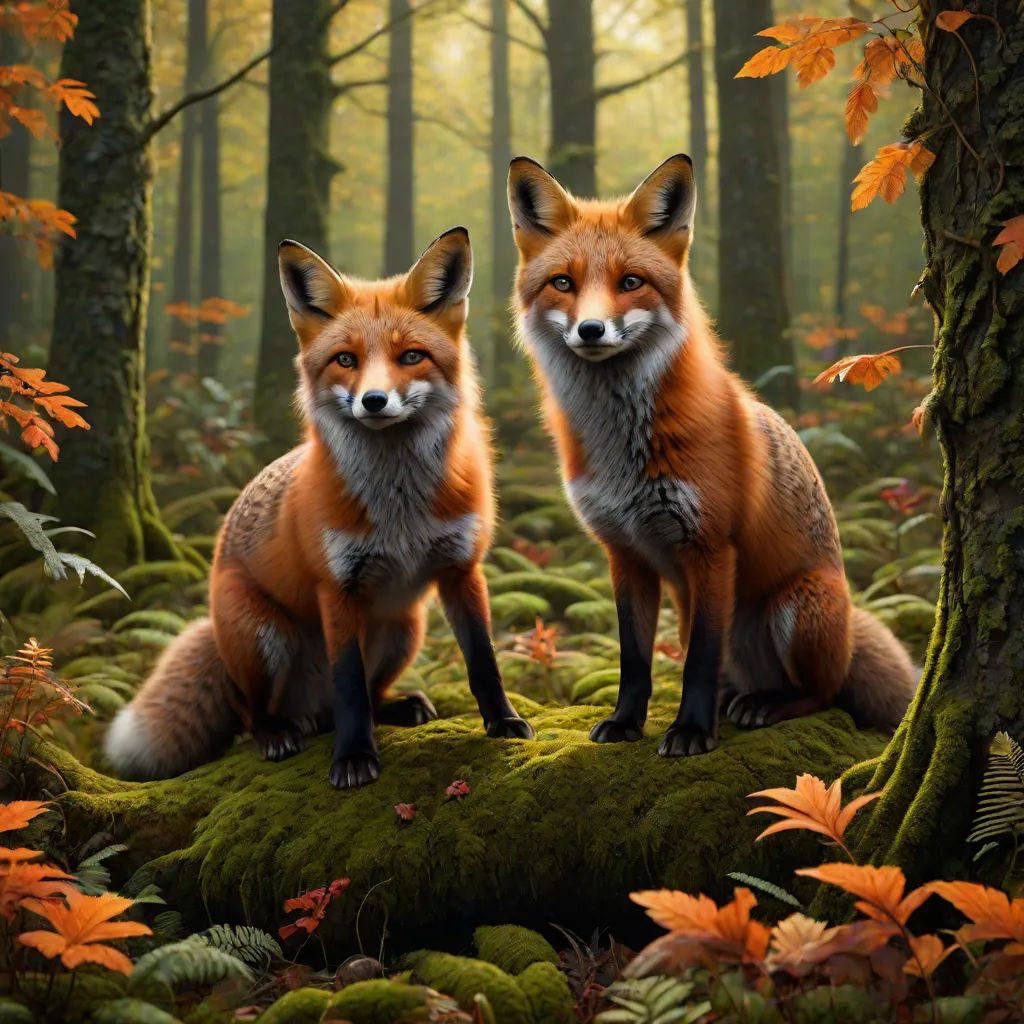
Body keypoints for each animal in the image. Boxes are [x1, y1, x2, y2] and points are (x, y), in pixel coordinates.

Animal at [104, 226, 533, 788]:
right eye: (345, 360)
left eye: (411, 357)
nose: (374, 401)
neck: (400, 509)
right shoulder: (337, 587)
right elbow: (348, 684)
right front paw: (353, 758)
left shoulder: (462, 569)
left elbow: (483, 660)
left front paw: (503, 721)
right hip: (265, 636)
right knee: (256, 712)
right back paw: (279, 733)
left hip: (405, 627)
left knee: (356, 700)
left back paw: (396, 708)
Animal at [507, 154, 918, 757]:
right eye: (564, 283)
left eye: (631, 282)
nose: (591, 329)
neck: (622, 450)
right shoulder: (624, 554)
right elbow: (634, 660)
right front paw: (626, 722)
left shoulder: (712, 547)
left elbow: (699, 660)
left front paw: (693, 732)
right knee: (740, 677)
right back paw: (735, 700)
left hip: (796, 605)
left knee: (824, 693)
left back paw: (765, 705)